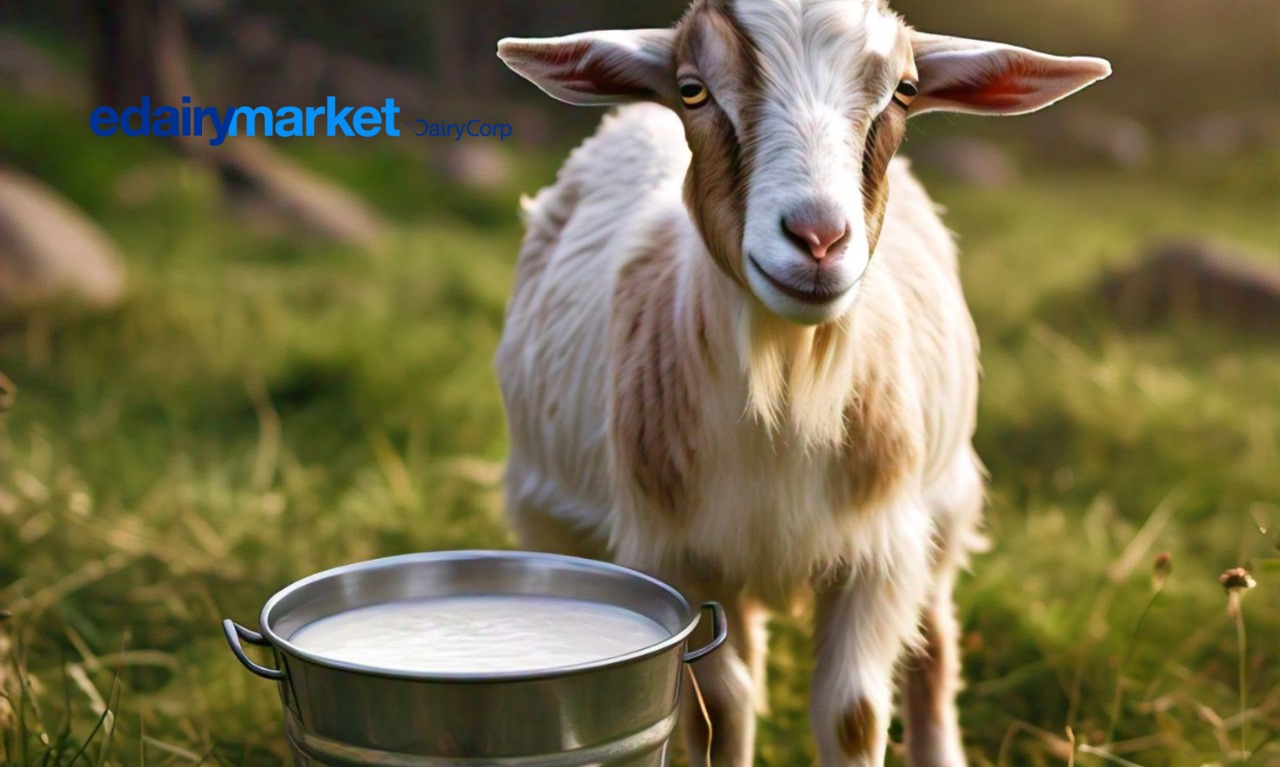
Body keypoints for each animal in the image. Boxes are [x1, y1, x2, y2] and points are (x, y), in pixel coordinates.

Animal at [496, 1, 1109, 765]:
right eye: (693, 89)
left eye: (905, 90)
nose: (818, 238)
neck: (786, 374)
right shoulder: (677, 554)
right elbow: (717, 710)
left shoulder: (880, 552)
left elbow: (853, 712)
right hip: (556, 519)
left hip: (947, 506)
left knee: (934, 647)